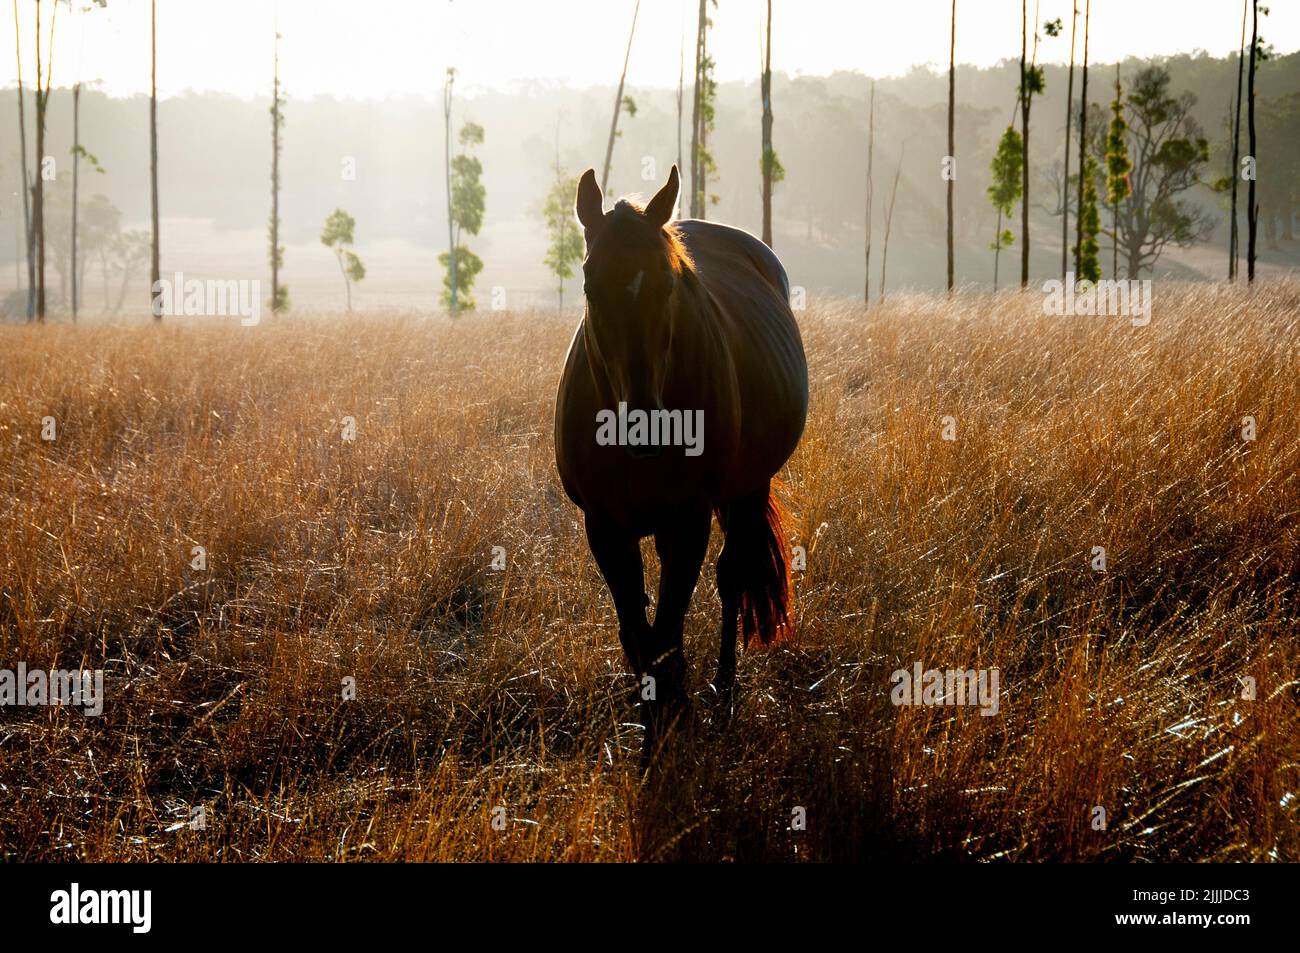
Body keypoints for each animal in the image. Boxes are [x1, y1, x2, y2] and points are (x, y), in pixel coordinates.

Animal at [554, 164, 808, 760]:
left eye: (668, 285)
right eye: (588, 283)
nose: (643, 421)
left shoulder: (691, 517)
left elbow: (665, 629)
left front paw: (667, 729)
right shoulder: (604, 526)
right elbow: (638, 632)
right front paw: (656, 721)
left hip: (748, 487)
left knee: (732, 577)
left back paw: (723, 692)